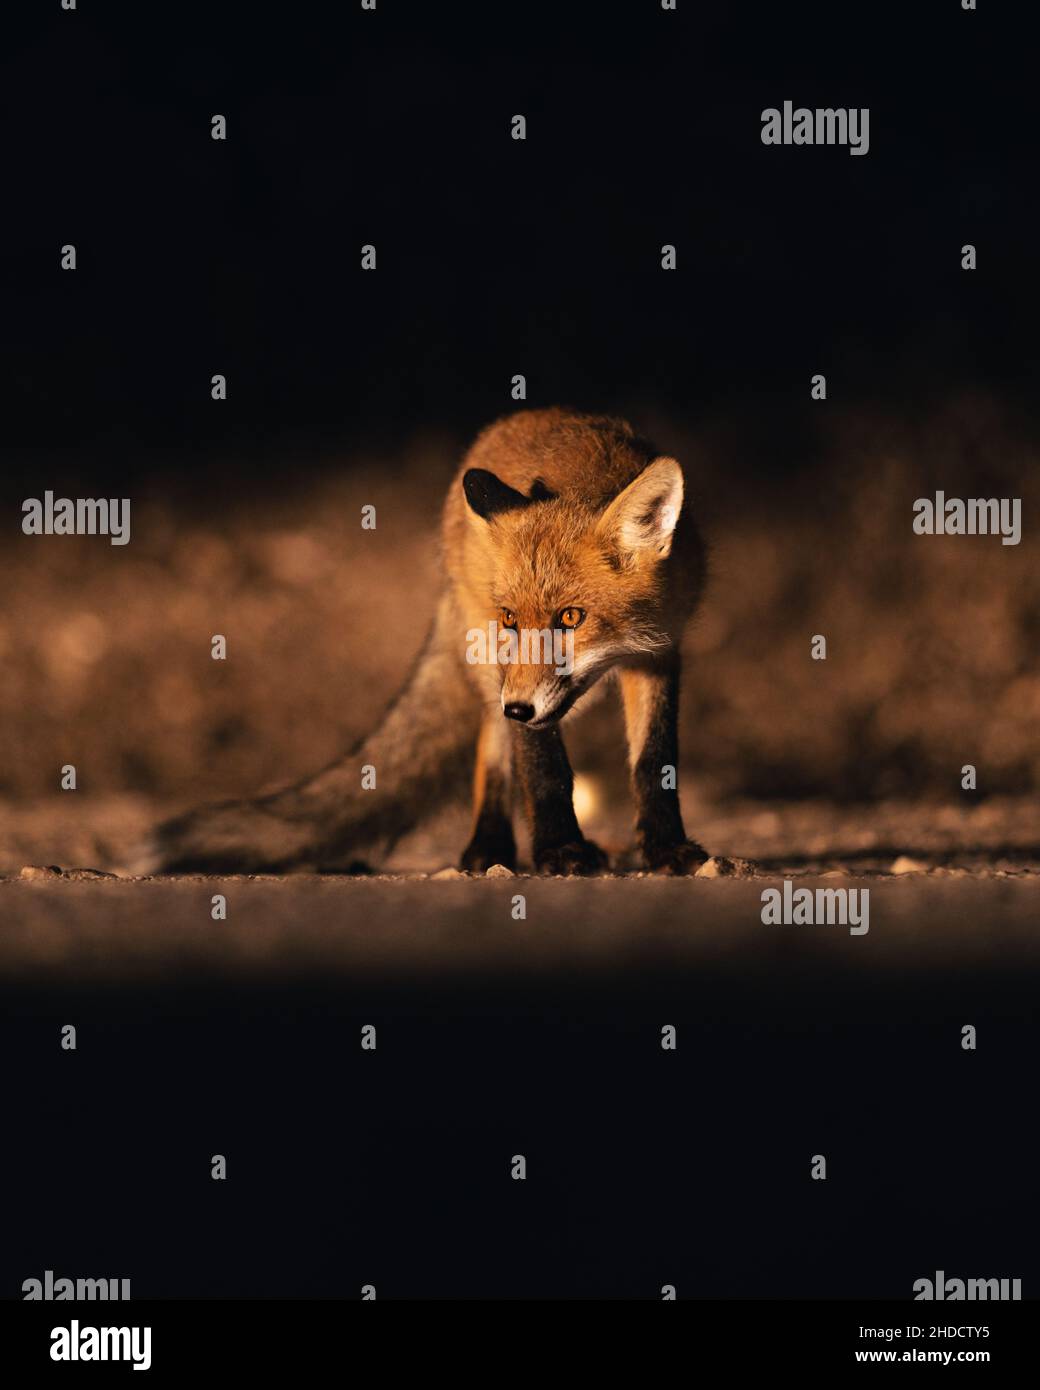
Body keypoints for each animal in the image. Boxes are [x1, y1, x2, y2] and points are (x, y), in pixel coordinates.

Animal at [138, 408, 725, 876]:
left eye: (571, 617)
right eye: (511, 618)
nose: (519, 708)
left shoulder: (659, 653)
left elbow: (654, 762)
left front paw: (667, 851)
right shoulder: (511, 672)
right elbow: (544, 767)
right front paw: (560, 852)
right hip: (485, 657)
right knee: (493, 749)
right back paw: (488, 849)